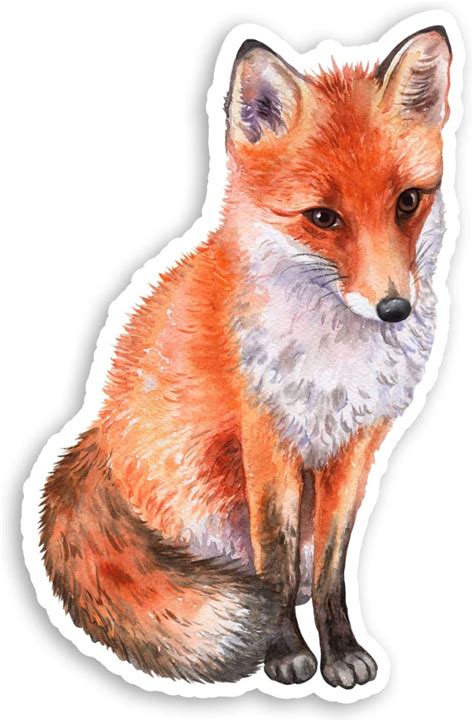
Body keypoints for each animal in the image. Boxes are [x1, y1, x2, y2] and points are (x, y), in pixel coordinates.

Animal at [37, 25, 453, 690]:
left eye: (408, 202)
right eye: (323, 218)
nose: (394, 309)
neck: (333, 365)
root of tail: (98, 437)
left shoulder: (356, 446)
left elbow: (331, 566)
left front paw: (339, 651)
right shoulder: (265, 436)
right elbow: (273, 561)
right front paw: (283, 651)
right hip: (202, 489)